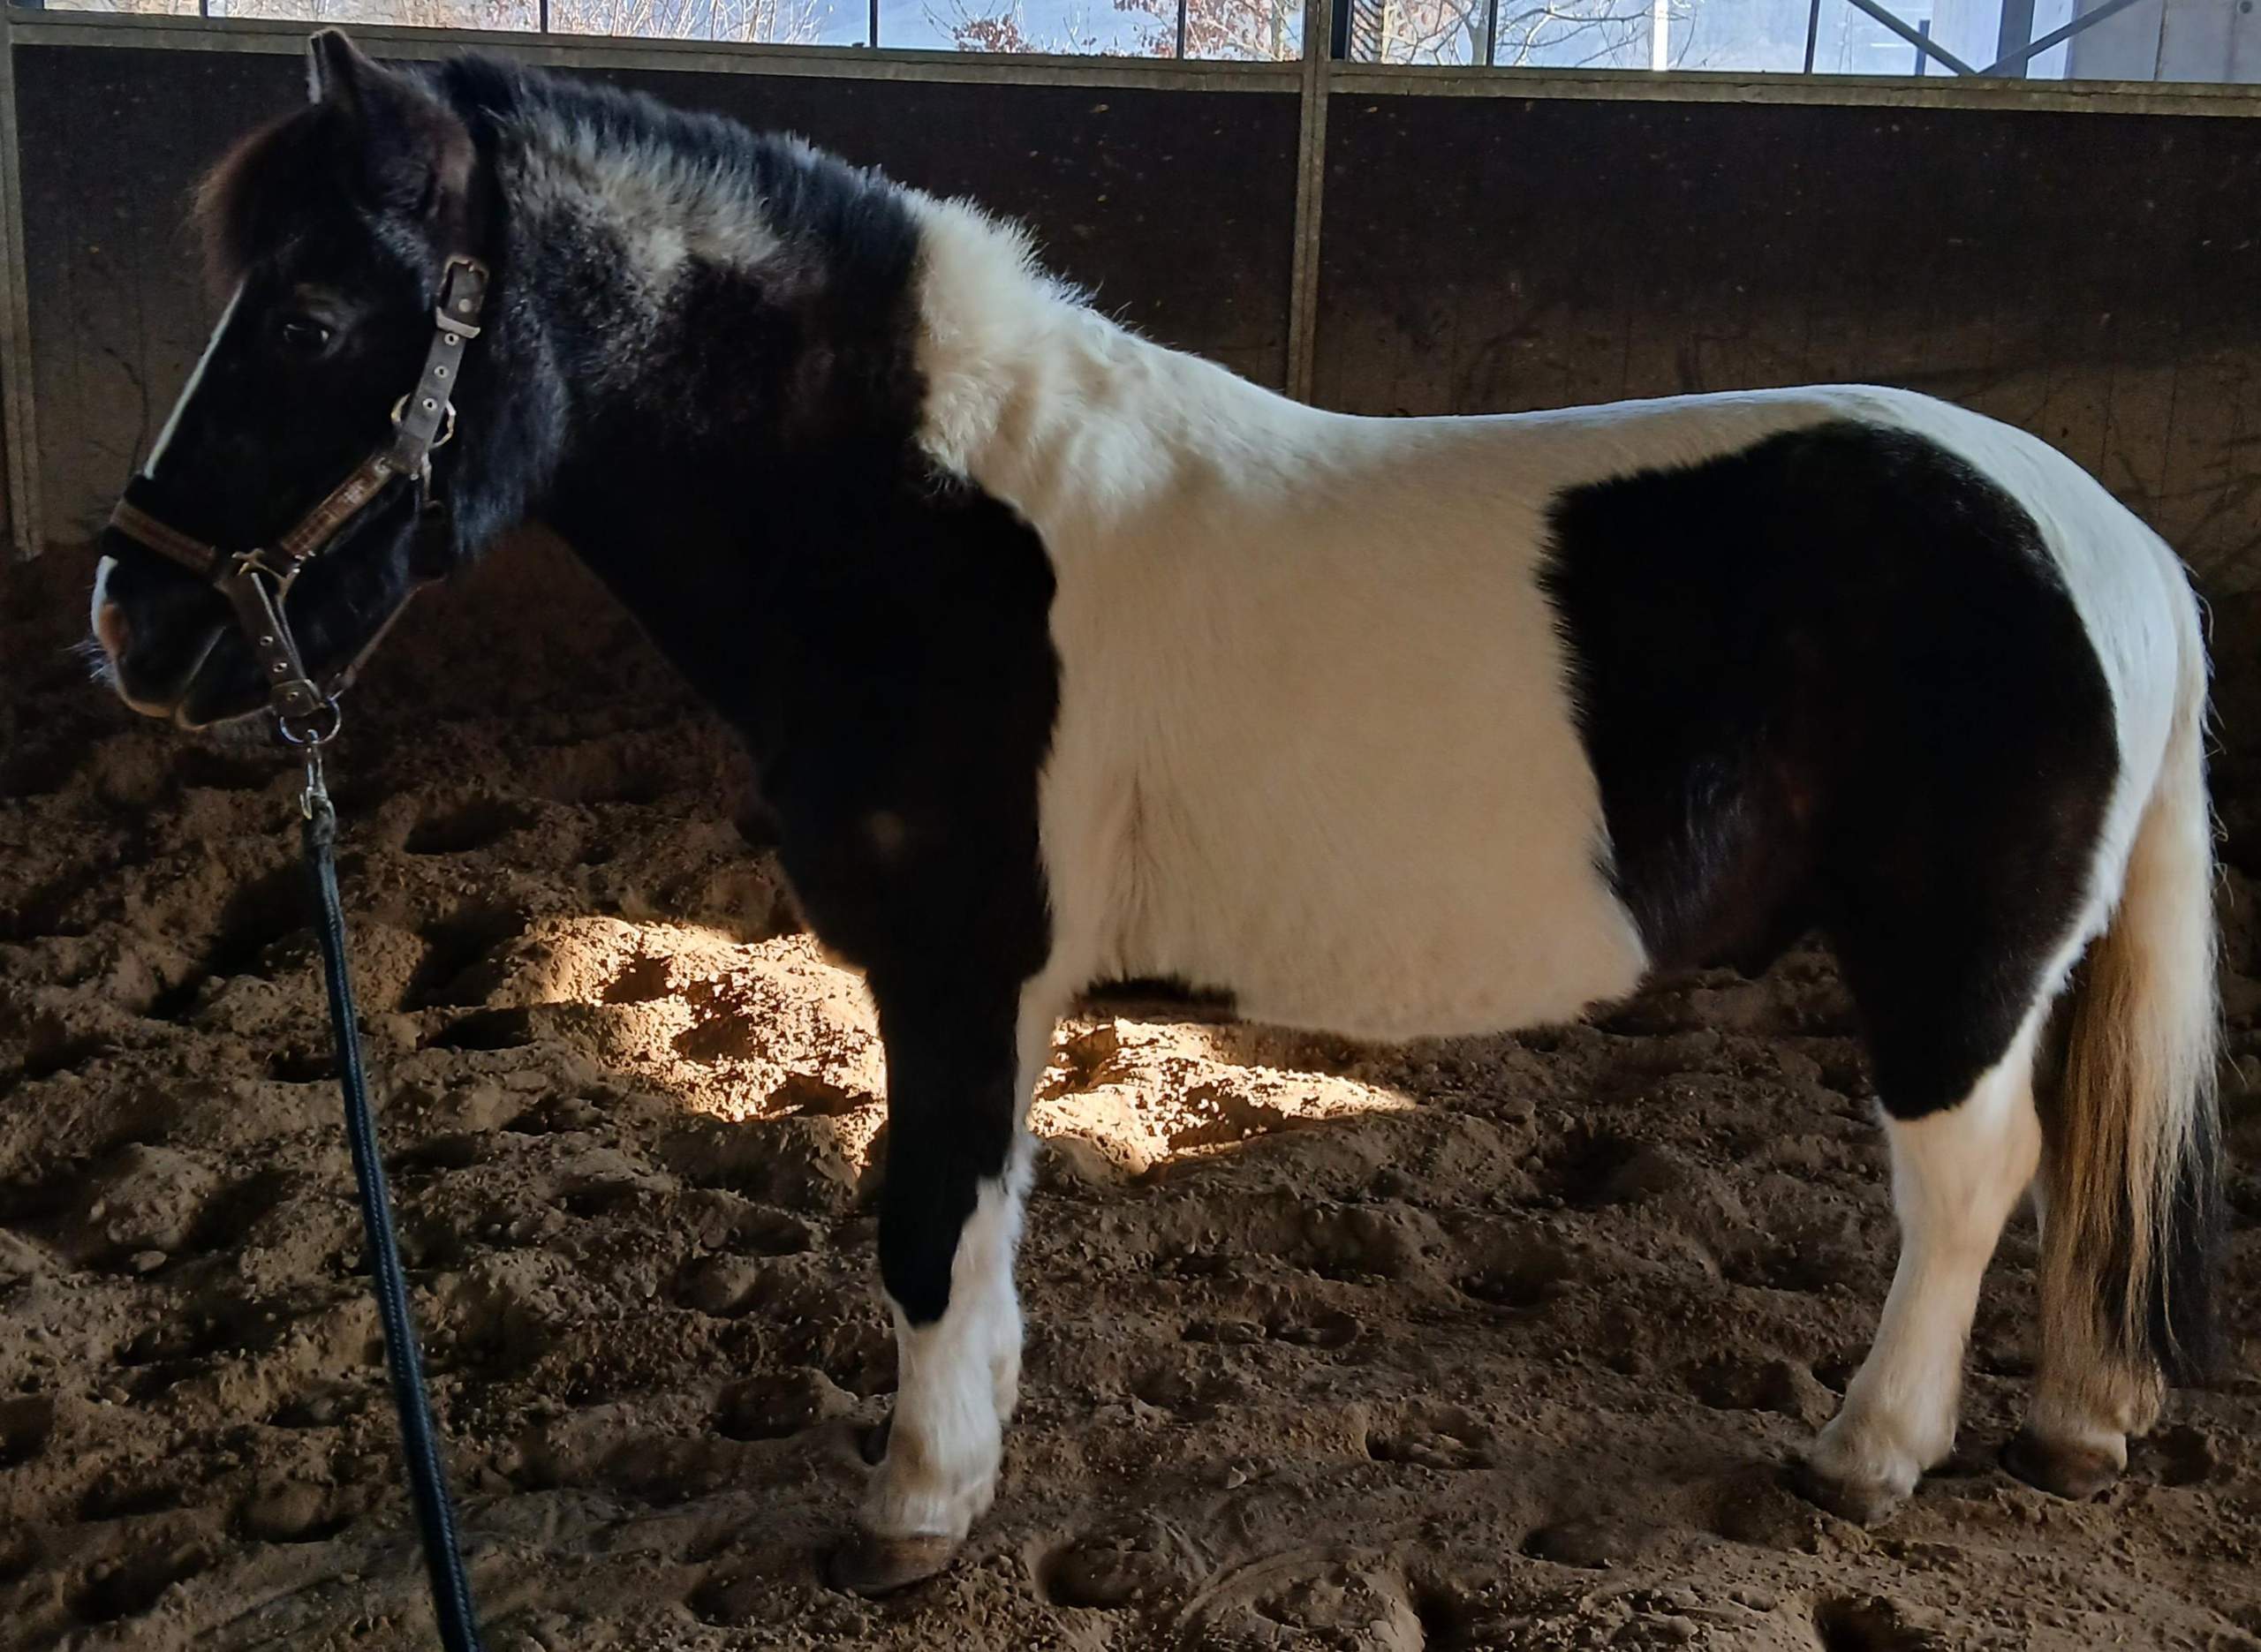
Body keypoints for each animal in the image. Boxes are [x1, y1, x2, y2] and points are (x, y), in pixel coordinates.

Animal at [88, 30, 2222, 1595]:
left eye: (309, 316)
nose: (131, 620)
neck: (928, 524)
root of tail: (2110, 541)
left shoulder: (958, 963)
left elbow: (927, 1218)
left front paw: (911, 1513)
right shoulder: (1000, 986)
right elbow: (985, 1228)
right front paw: (967, 1455)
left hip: (1950, 968)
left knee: (1973, 1179)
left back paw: (1863, 1457)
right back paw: (2072, 1422)